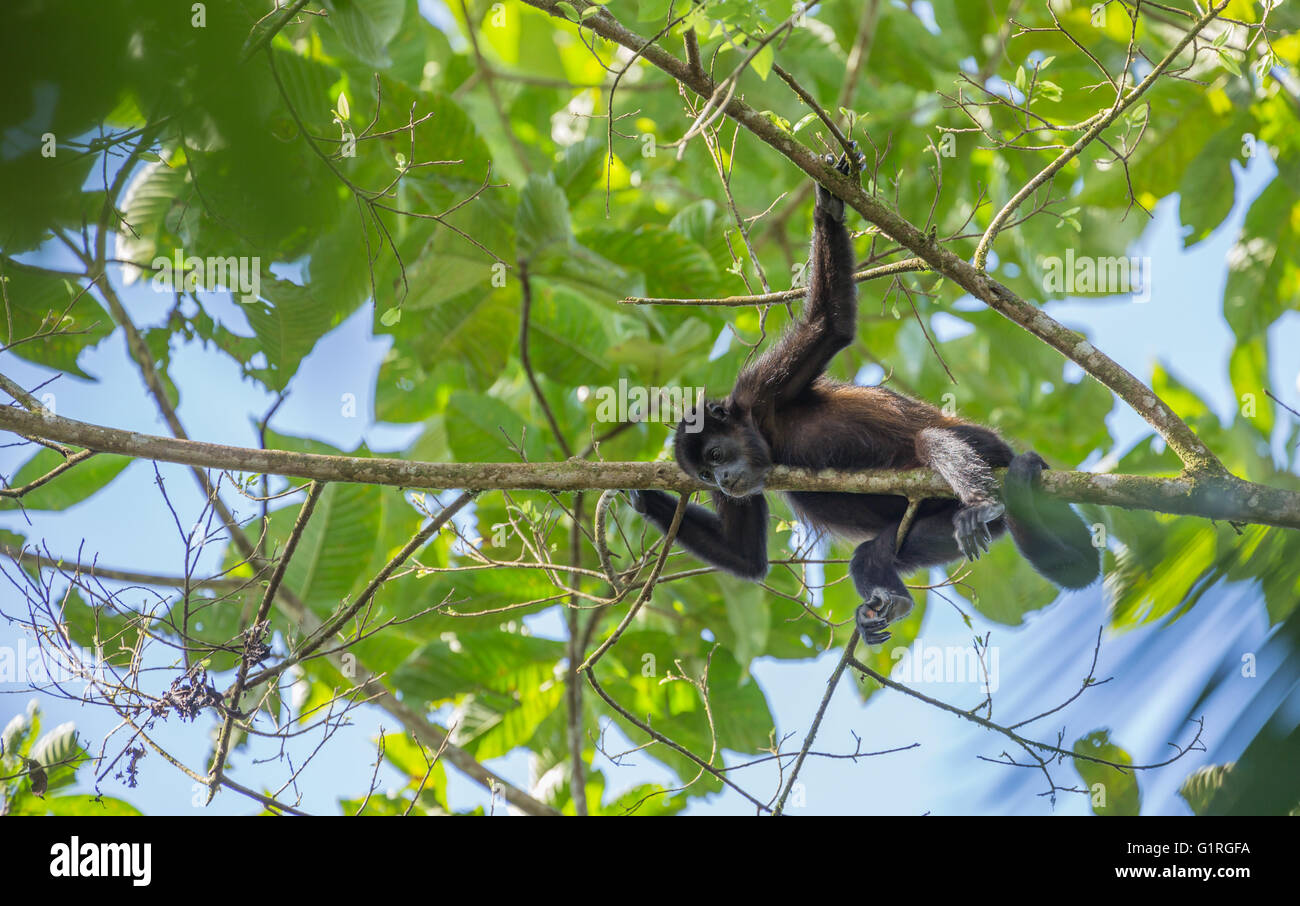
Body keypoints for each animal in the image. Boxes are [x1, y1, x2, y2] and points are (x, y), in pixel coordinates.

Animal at [630, 146, 1100, 645]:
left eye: (716, 456)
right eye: (704, 474)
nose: (719, 482)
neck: (762, 434)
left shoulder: (758, 390)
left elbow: (828, 323)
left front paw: (830, 207)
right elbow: (745, 557)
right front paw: (642, 498)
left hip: (988, 448)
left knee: (933, 440)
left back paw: (978, 505)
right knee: (872, 552)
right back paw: (892, 598)